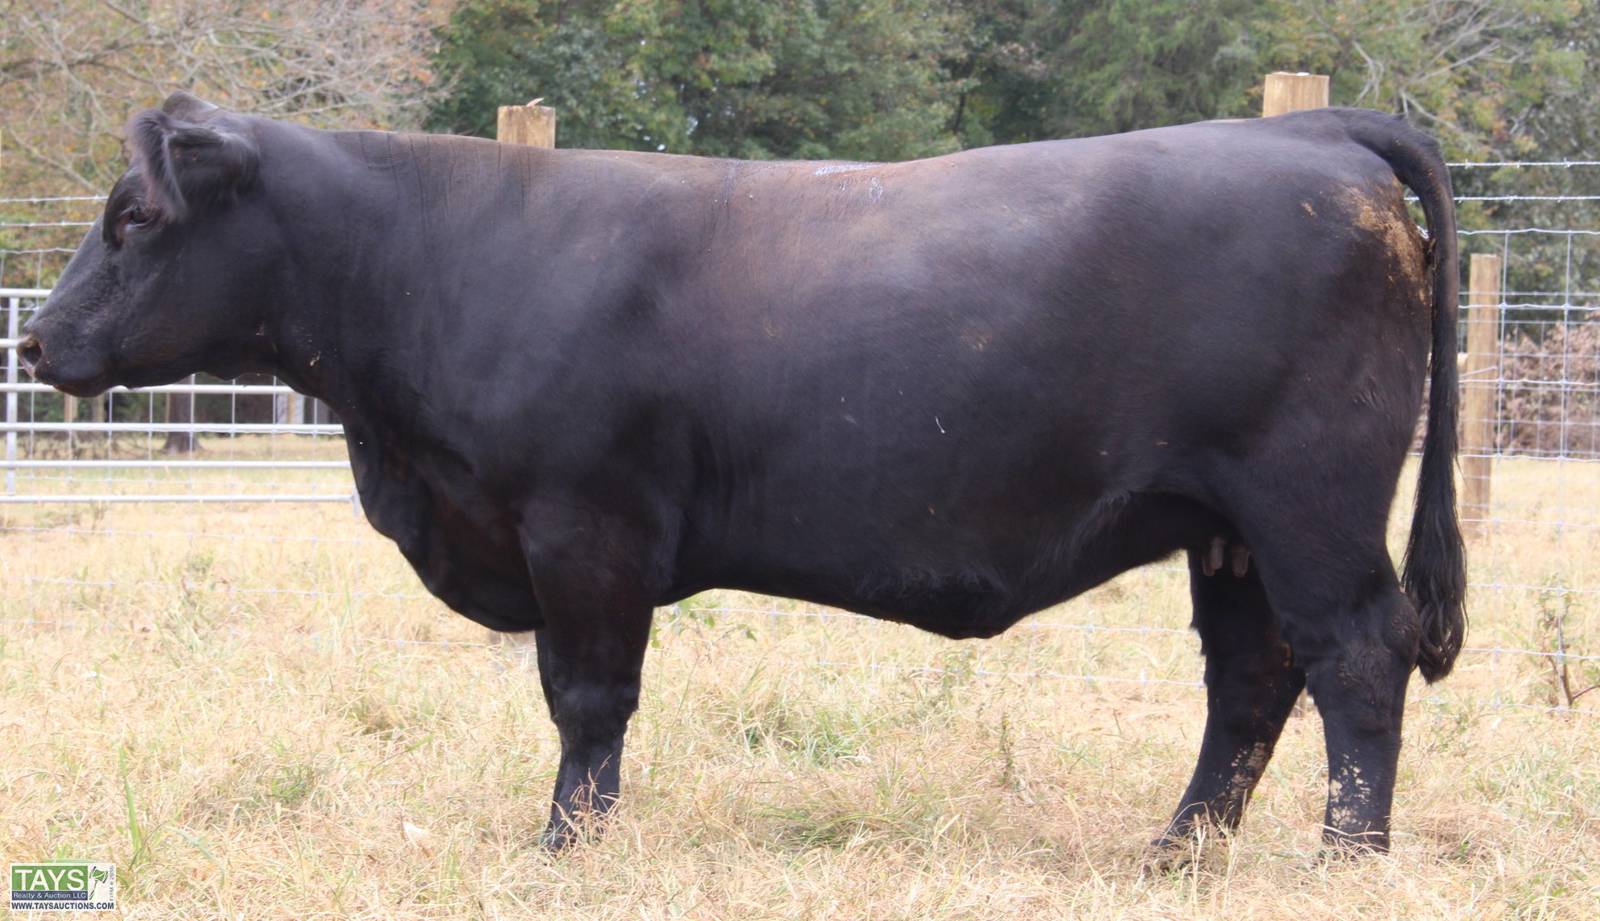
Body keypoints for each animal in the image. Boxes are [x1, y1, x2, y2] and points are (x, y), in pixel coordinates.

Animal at [20, 92, 1465, 859]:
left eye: (135, 217)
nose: (35, 342)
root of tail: (1314, 135)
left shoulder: (585, 524)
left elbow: (587, 700)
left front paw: (569, 846)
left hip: (1309, 508)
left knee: (1354, 659)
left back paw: (1344, 856)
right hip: (1226, 527)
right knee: (1252, 680)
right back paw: (1175, 856)